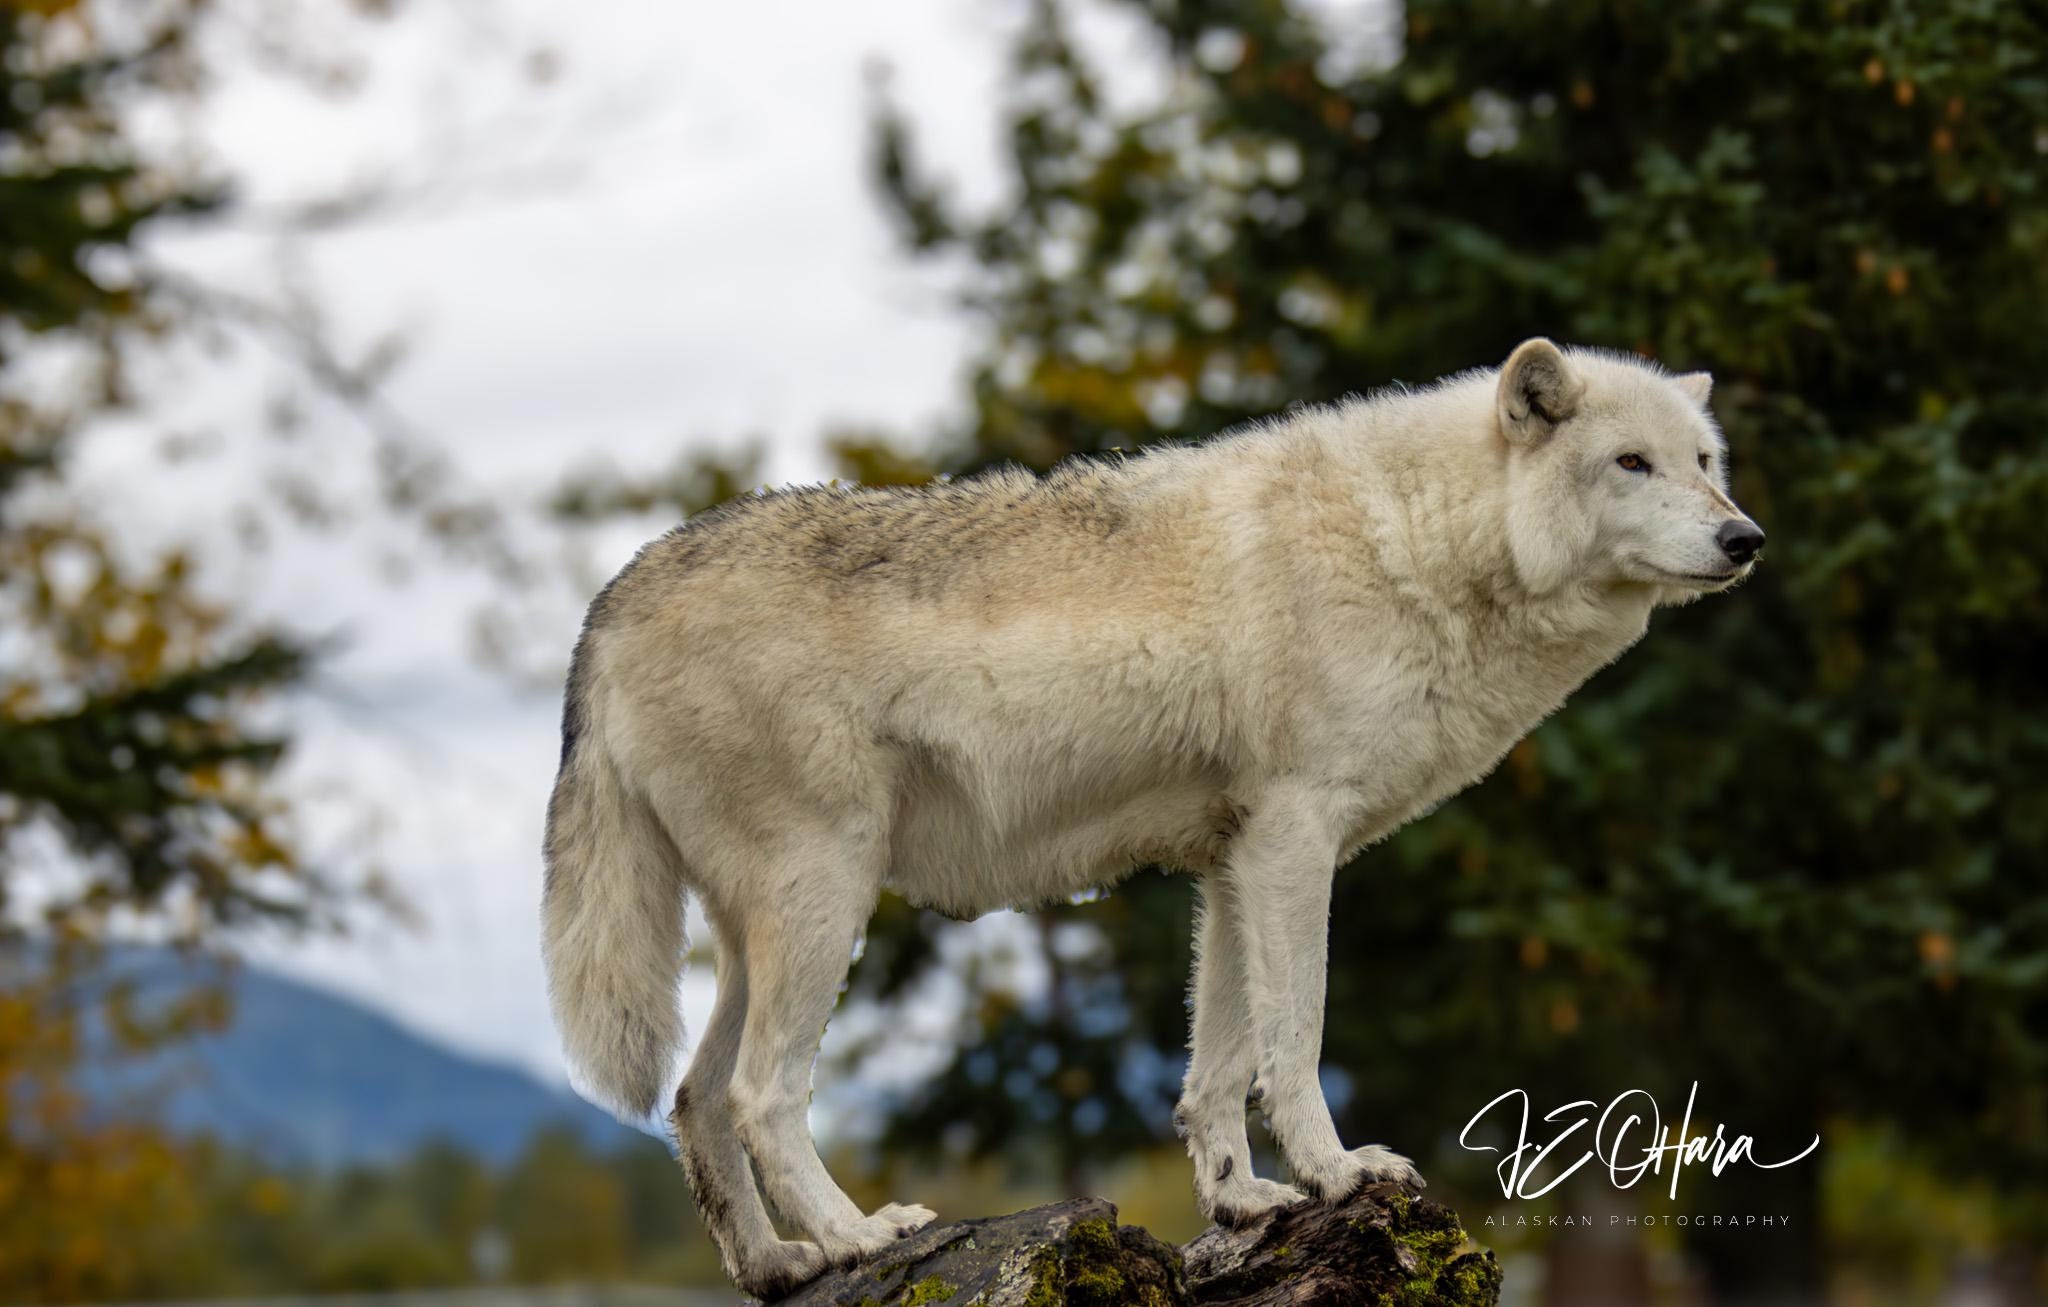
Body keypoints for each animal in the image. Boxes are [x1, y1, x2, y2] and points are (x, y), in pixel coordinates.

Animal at [541, 338, 1764, 1297]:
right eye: (1631, 463)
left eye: (1705, 463)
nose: (1745, 538)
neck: (1412, 538)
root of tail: (612, 598)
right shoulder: (1294, 841)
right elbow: (1296, 1037)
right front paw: (1336, 1174)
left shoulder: (1232, 863)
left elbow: (1213, 1072)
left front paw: (1245, 1202)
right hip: (823, 901)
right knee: (760, 1093)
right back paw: (857, 1237)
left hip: (763, 930)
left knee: (694, 1097)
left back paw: (777, 1266)